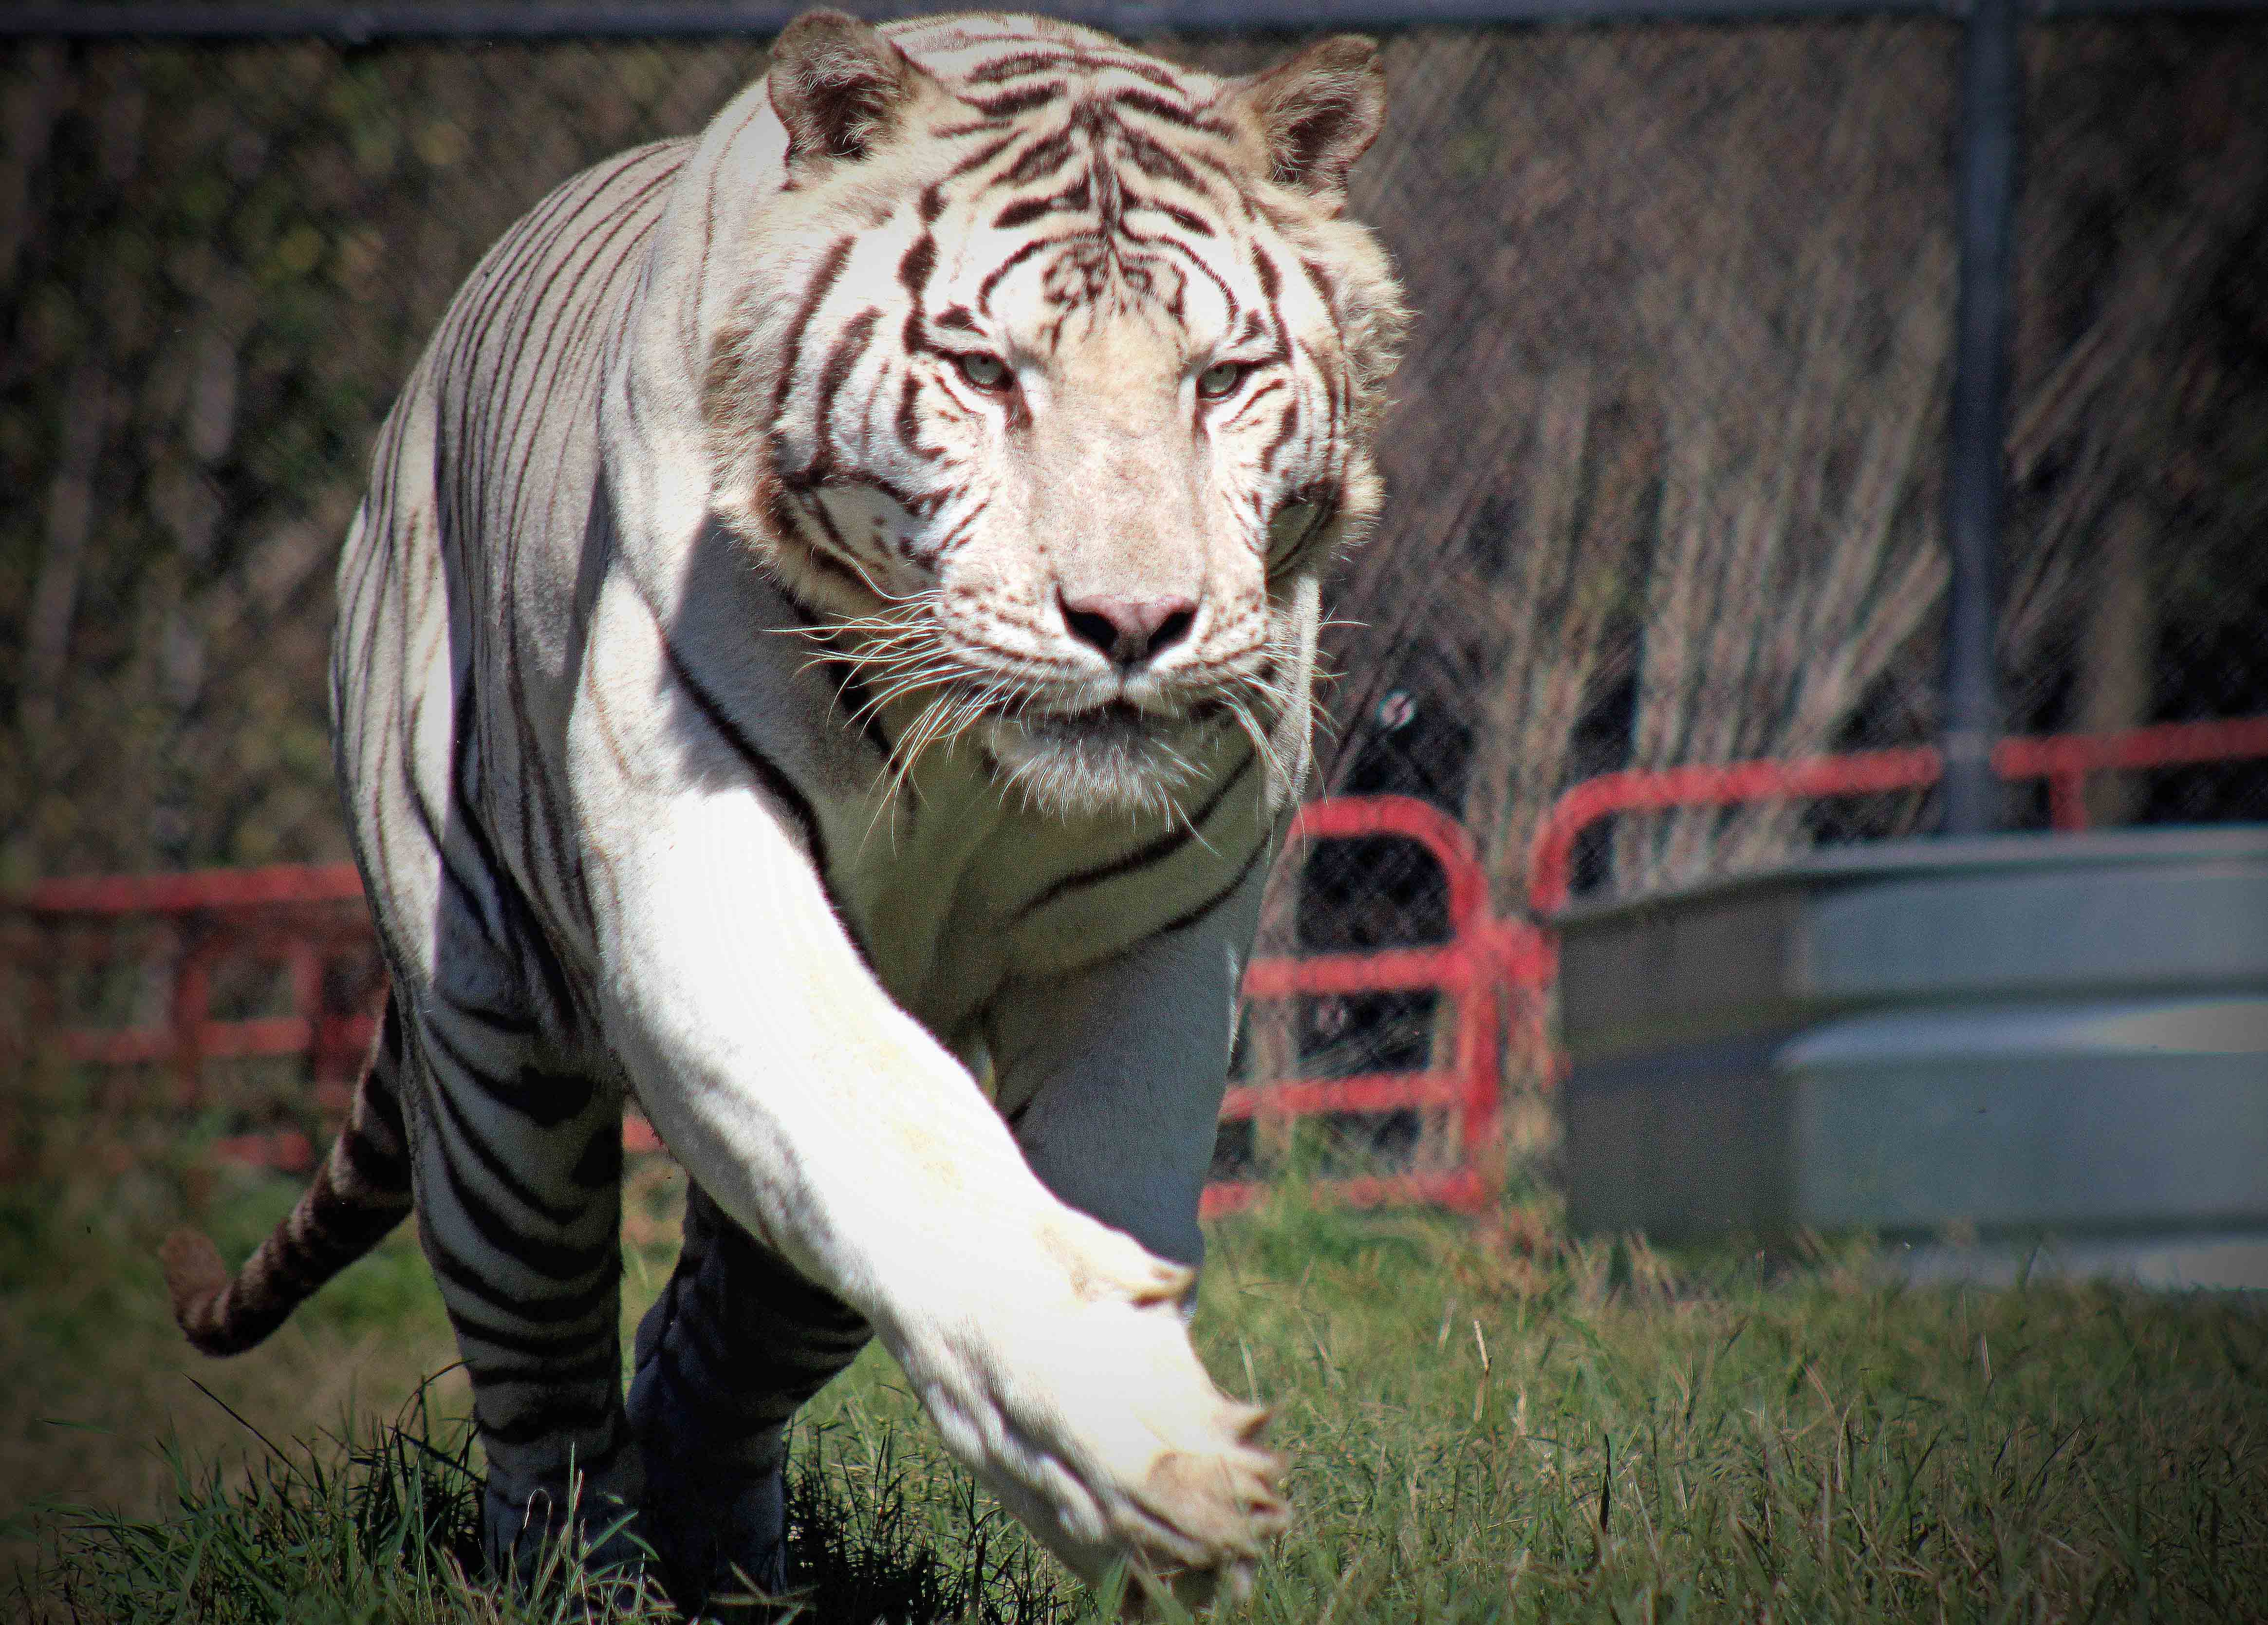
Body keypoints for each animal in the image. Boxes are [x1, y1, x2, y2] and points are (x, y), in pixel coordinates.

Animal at [159, 9, 1406, 1610]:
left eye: (1223, 376)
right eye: (985, 374)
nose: (1132, 623)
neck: (972, 768)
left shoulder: (1157, 947)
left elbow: (1055, 1180)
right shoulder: (700, 891)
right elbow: (895, 1131)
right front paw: (1148, 1453)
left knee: (721, 1336)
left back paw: (740, 1560)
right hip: (494, 1074)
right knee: (547, 1383)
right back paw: (596, 1578)